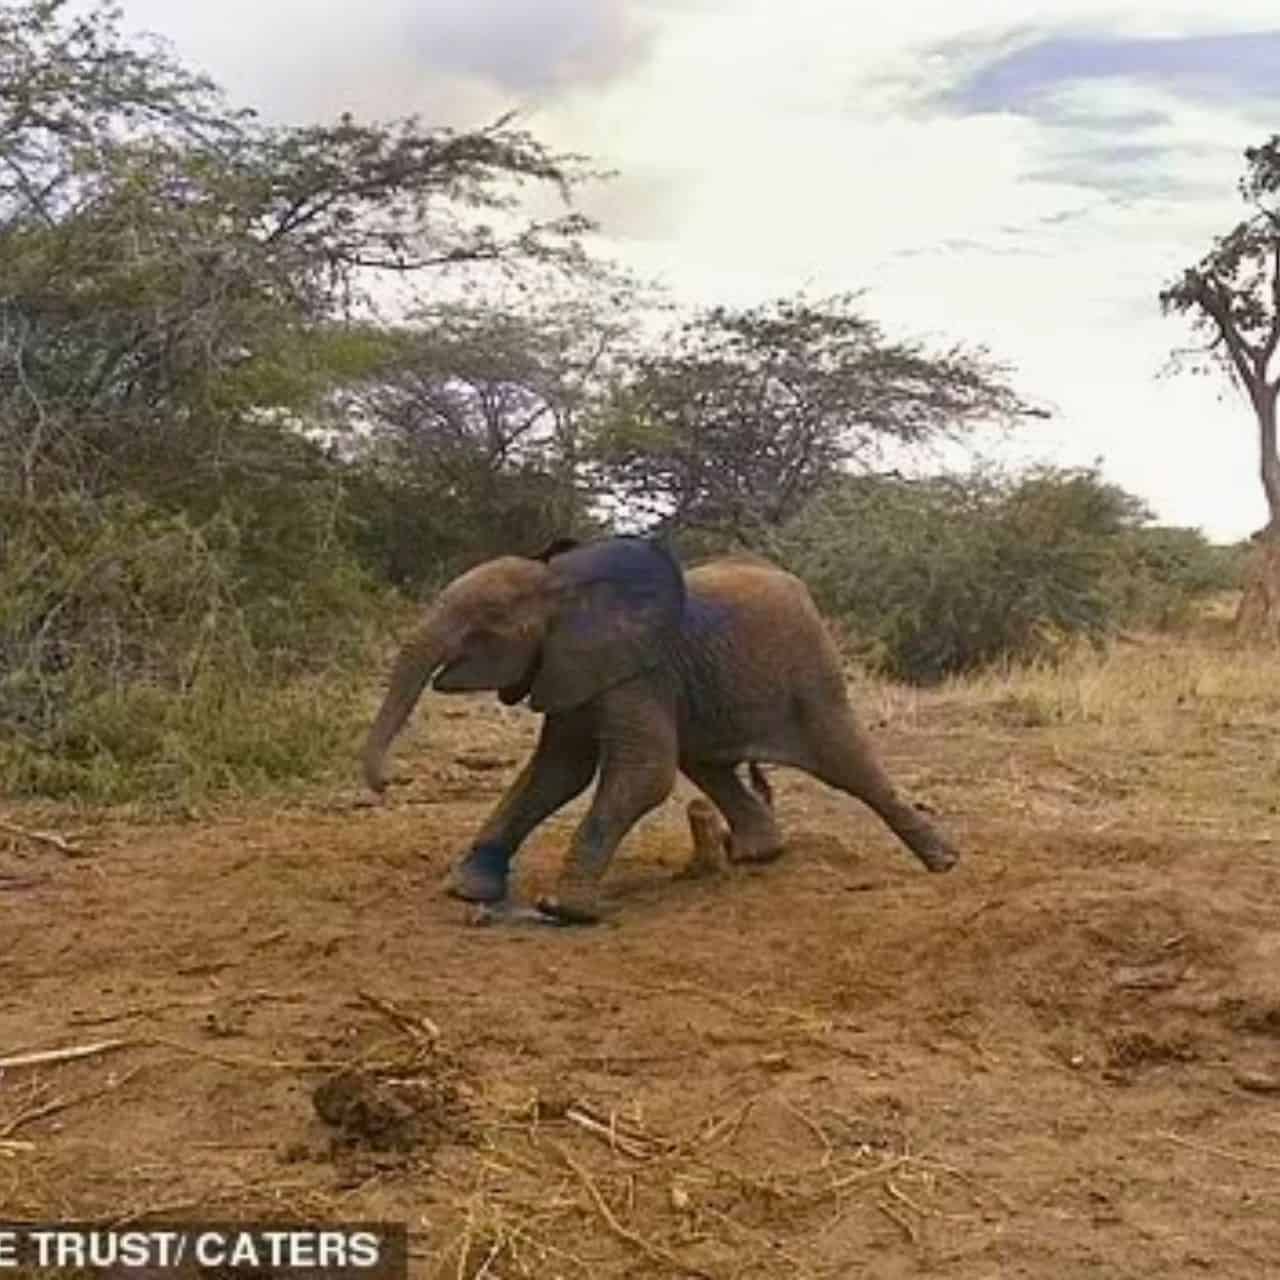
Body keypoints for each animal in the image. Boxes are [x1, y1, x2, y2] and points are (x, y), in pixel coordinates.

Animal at [361, 536, 959, 924]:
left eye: (485, 624)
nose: (385, 784)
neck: (563, 582)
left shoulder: (637, 670)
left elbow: (643, 774)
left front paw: (564, 909)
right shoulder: (574, 665)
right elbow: (558, 772)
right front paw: (467, 891)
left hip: (812, 676)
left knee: (848, 765)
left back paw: (945, 863)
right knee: (708, 766)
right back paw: (754, 855)